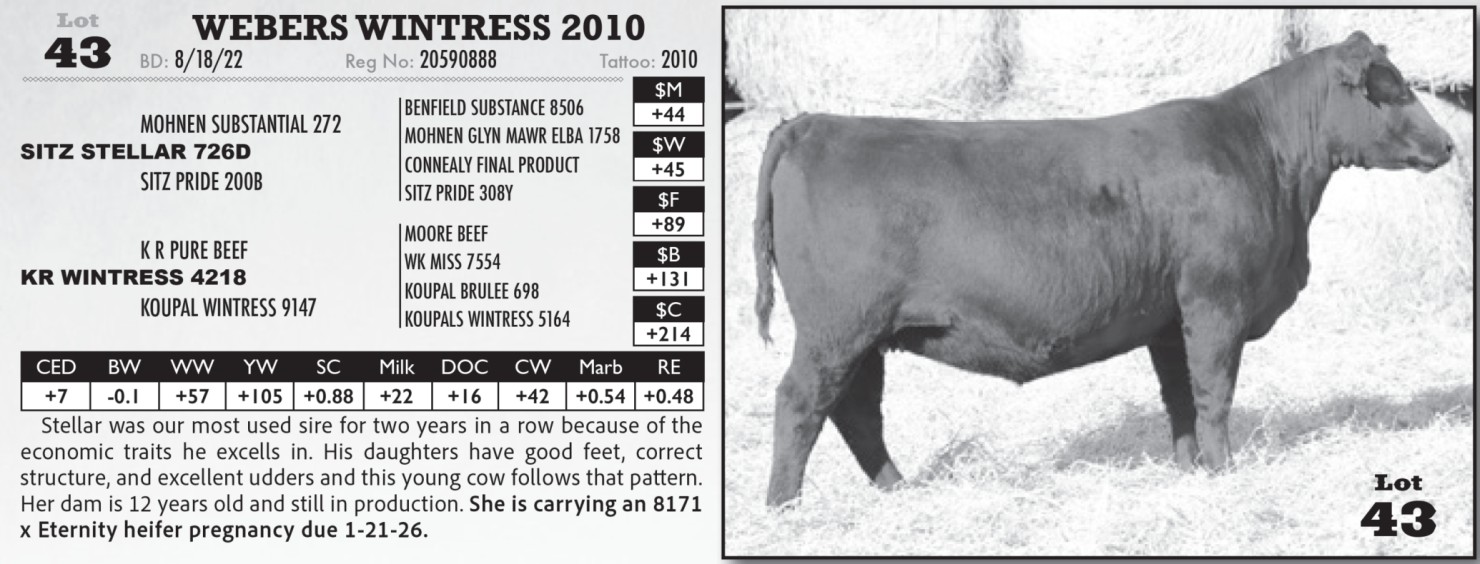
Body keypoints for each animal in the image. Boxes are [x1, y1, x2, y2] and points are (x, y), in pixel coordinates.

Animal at [753, 31, 1456, 507]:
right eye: (1391, 87)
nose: (1449, 143)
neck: (1263, 153)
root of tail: (811, 123)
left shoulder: (1170, 320)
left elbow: (1180, 398)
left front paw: (1189, 468)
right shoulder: (1215, 302)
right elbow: (1214, 392)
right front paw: (1224, 469)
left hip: (864, 337)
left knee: (856, 412)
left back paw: (897, 491)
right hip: (836, 329)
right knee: (801, 403)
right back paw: (785, 507)